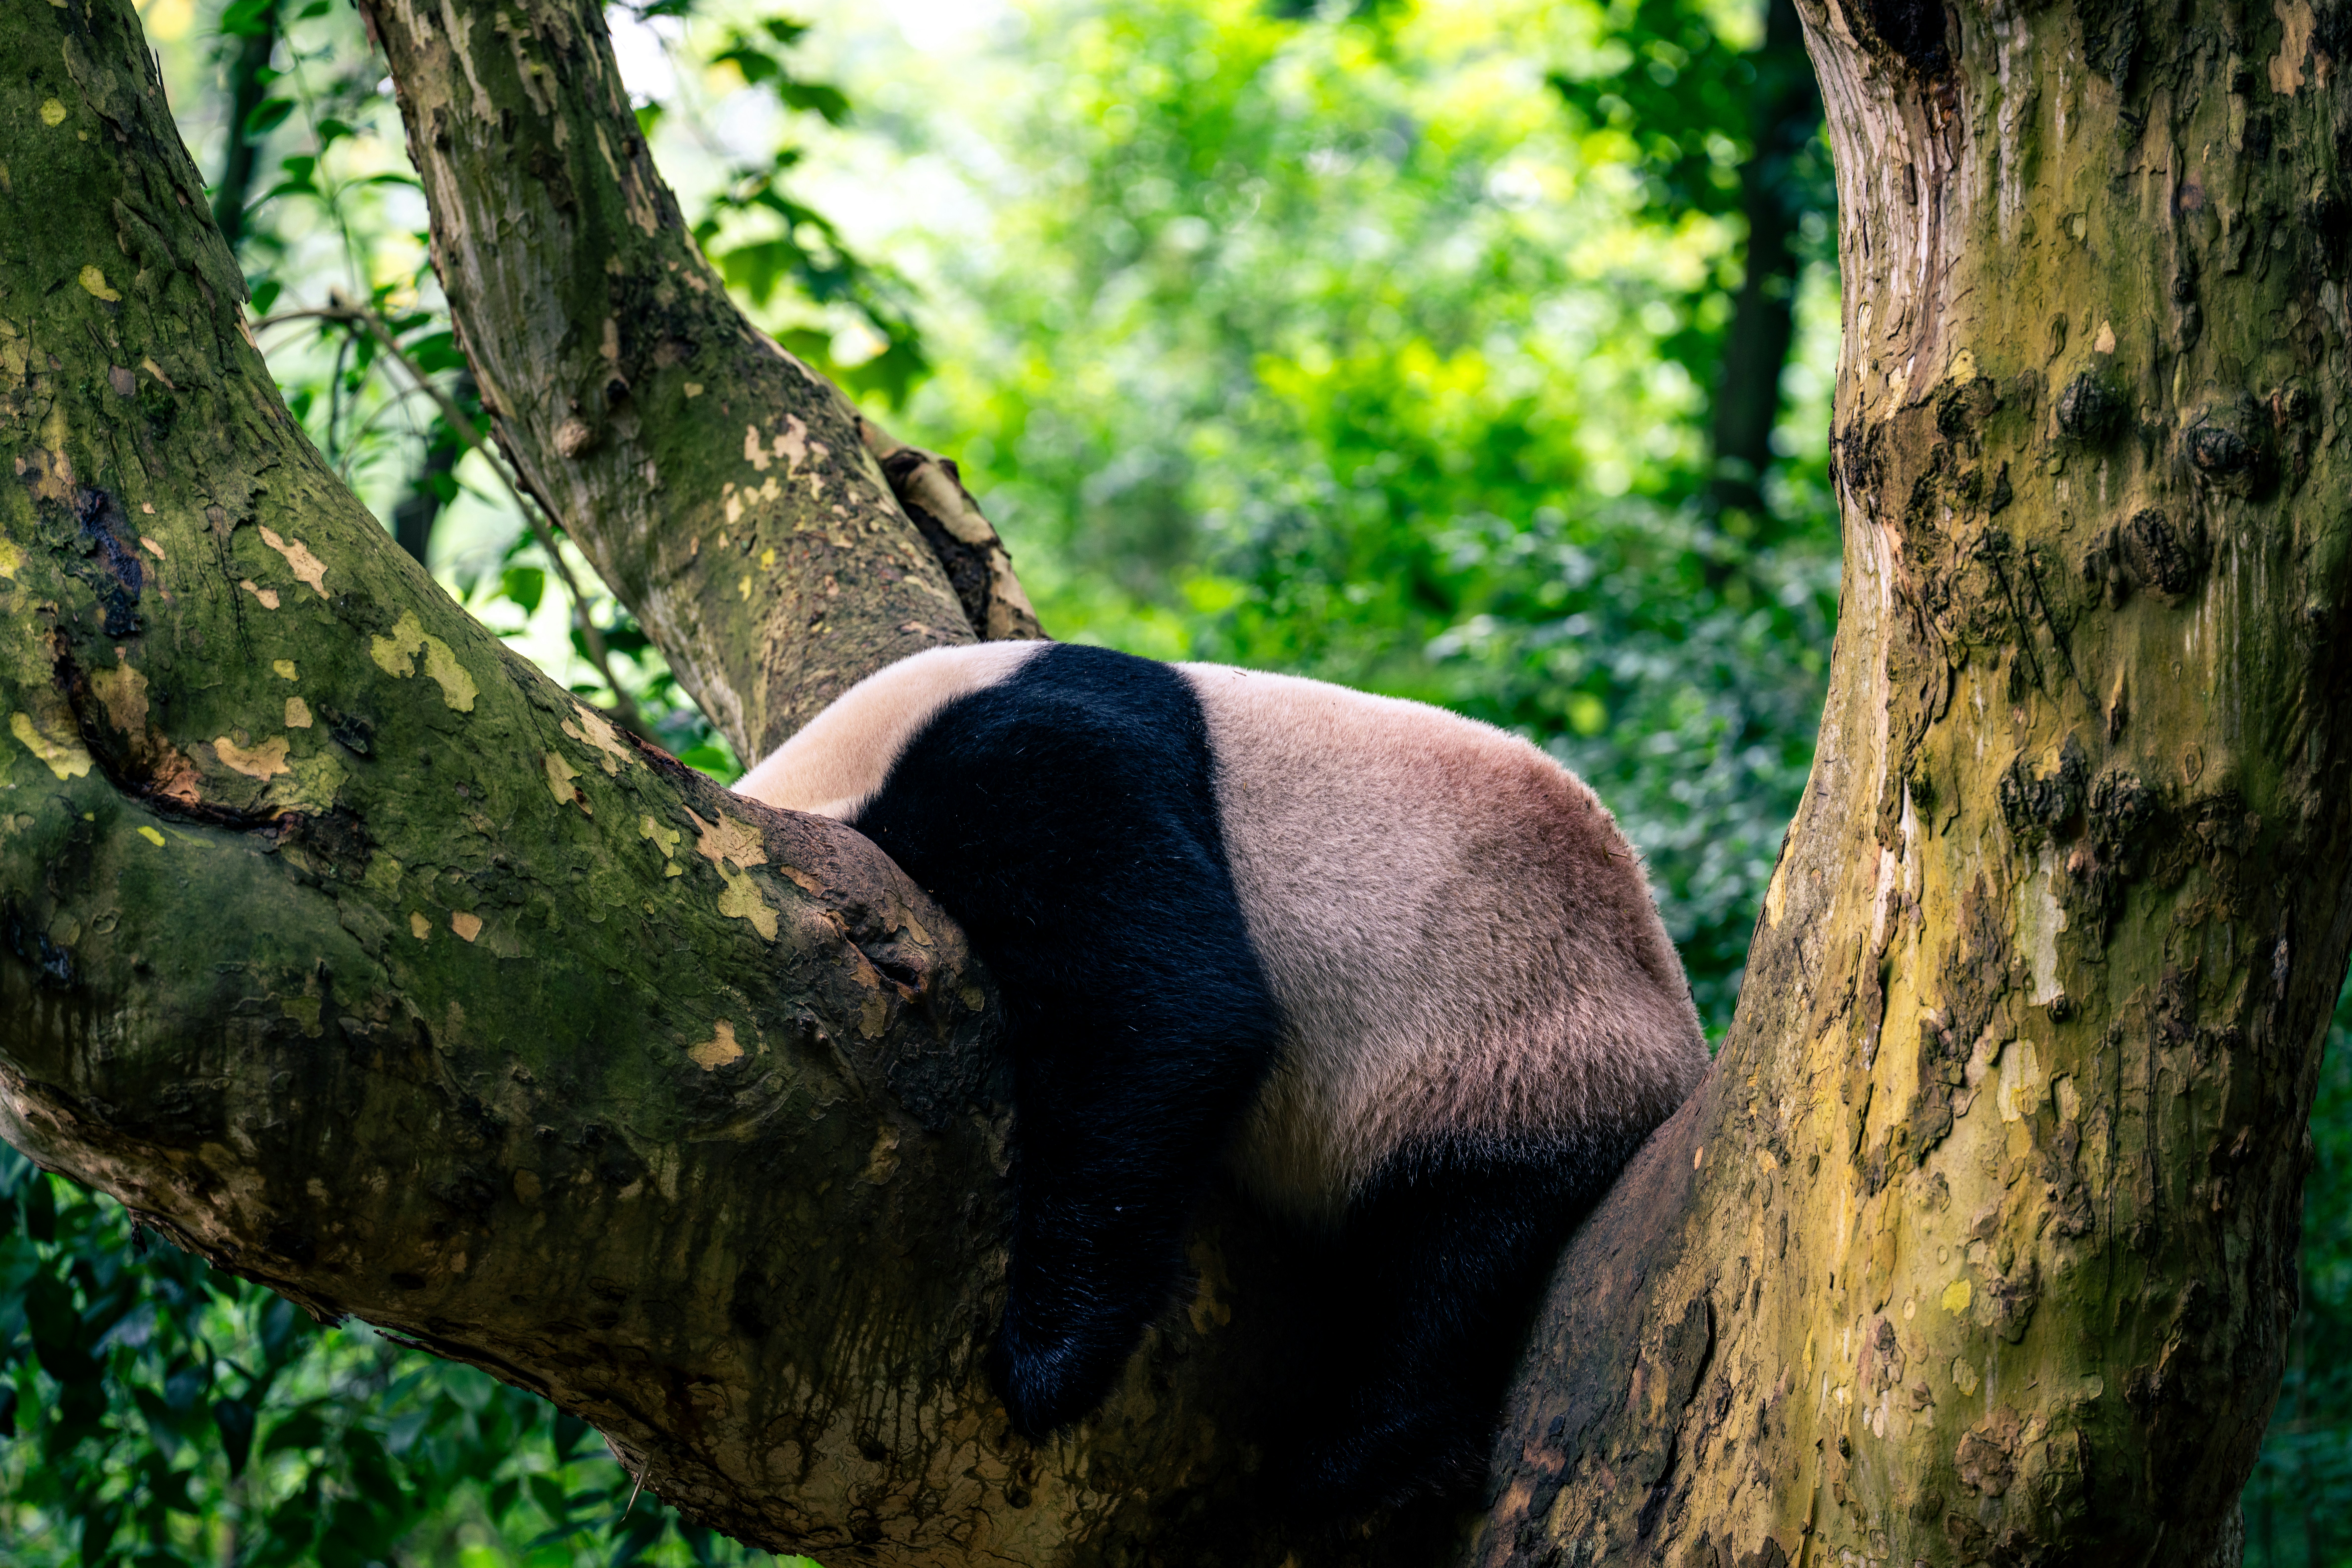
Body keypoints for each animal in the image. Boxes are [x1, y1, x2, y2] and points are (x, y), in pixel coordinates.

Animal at [734, 640, 1707, 1514]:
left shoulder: (1038, 759)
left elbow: (1170, 1007)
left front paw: (1047, 1361)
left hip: (1519, 1052)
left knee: (1449, 1254)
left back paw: (1365, 1456)